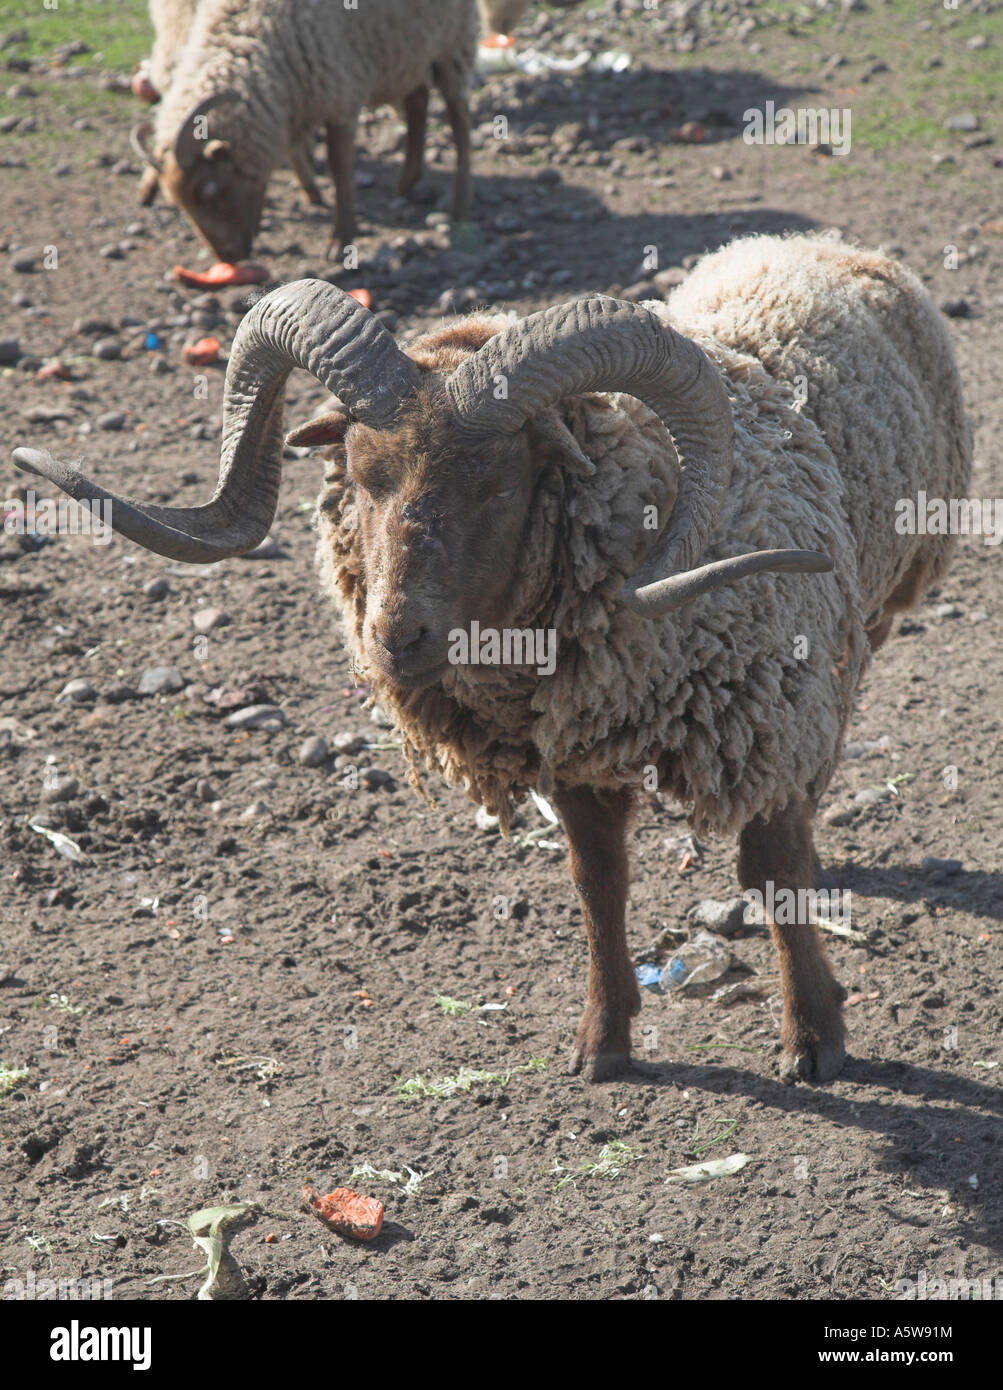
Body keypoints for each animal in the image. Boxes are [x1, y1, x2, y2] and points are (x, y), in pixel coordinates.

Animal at [13, 231, 972, 1086]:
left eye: (498, 482)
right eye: (361, 471)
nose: (395, 638)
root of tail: (809, 241)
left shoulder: (771, 715)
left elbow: (774, 874)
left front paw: (813, 1040)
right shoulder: (573, 753)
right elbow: (597, 885)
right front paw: (602, 1042)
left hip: (869, 618)